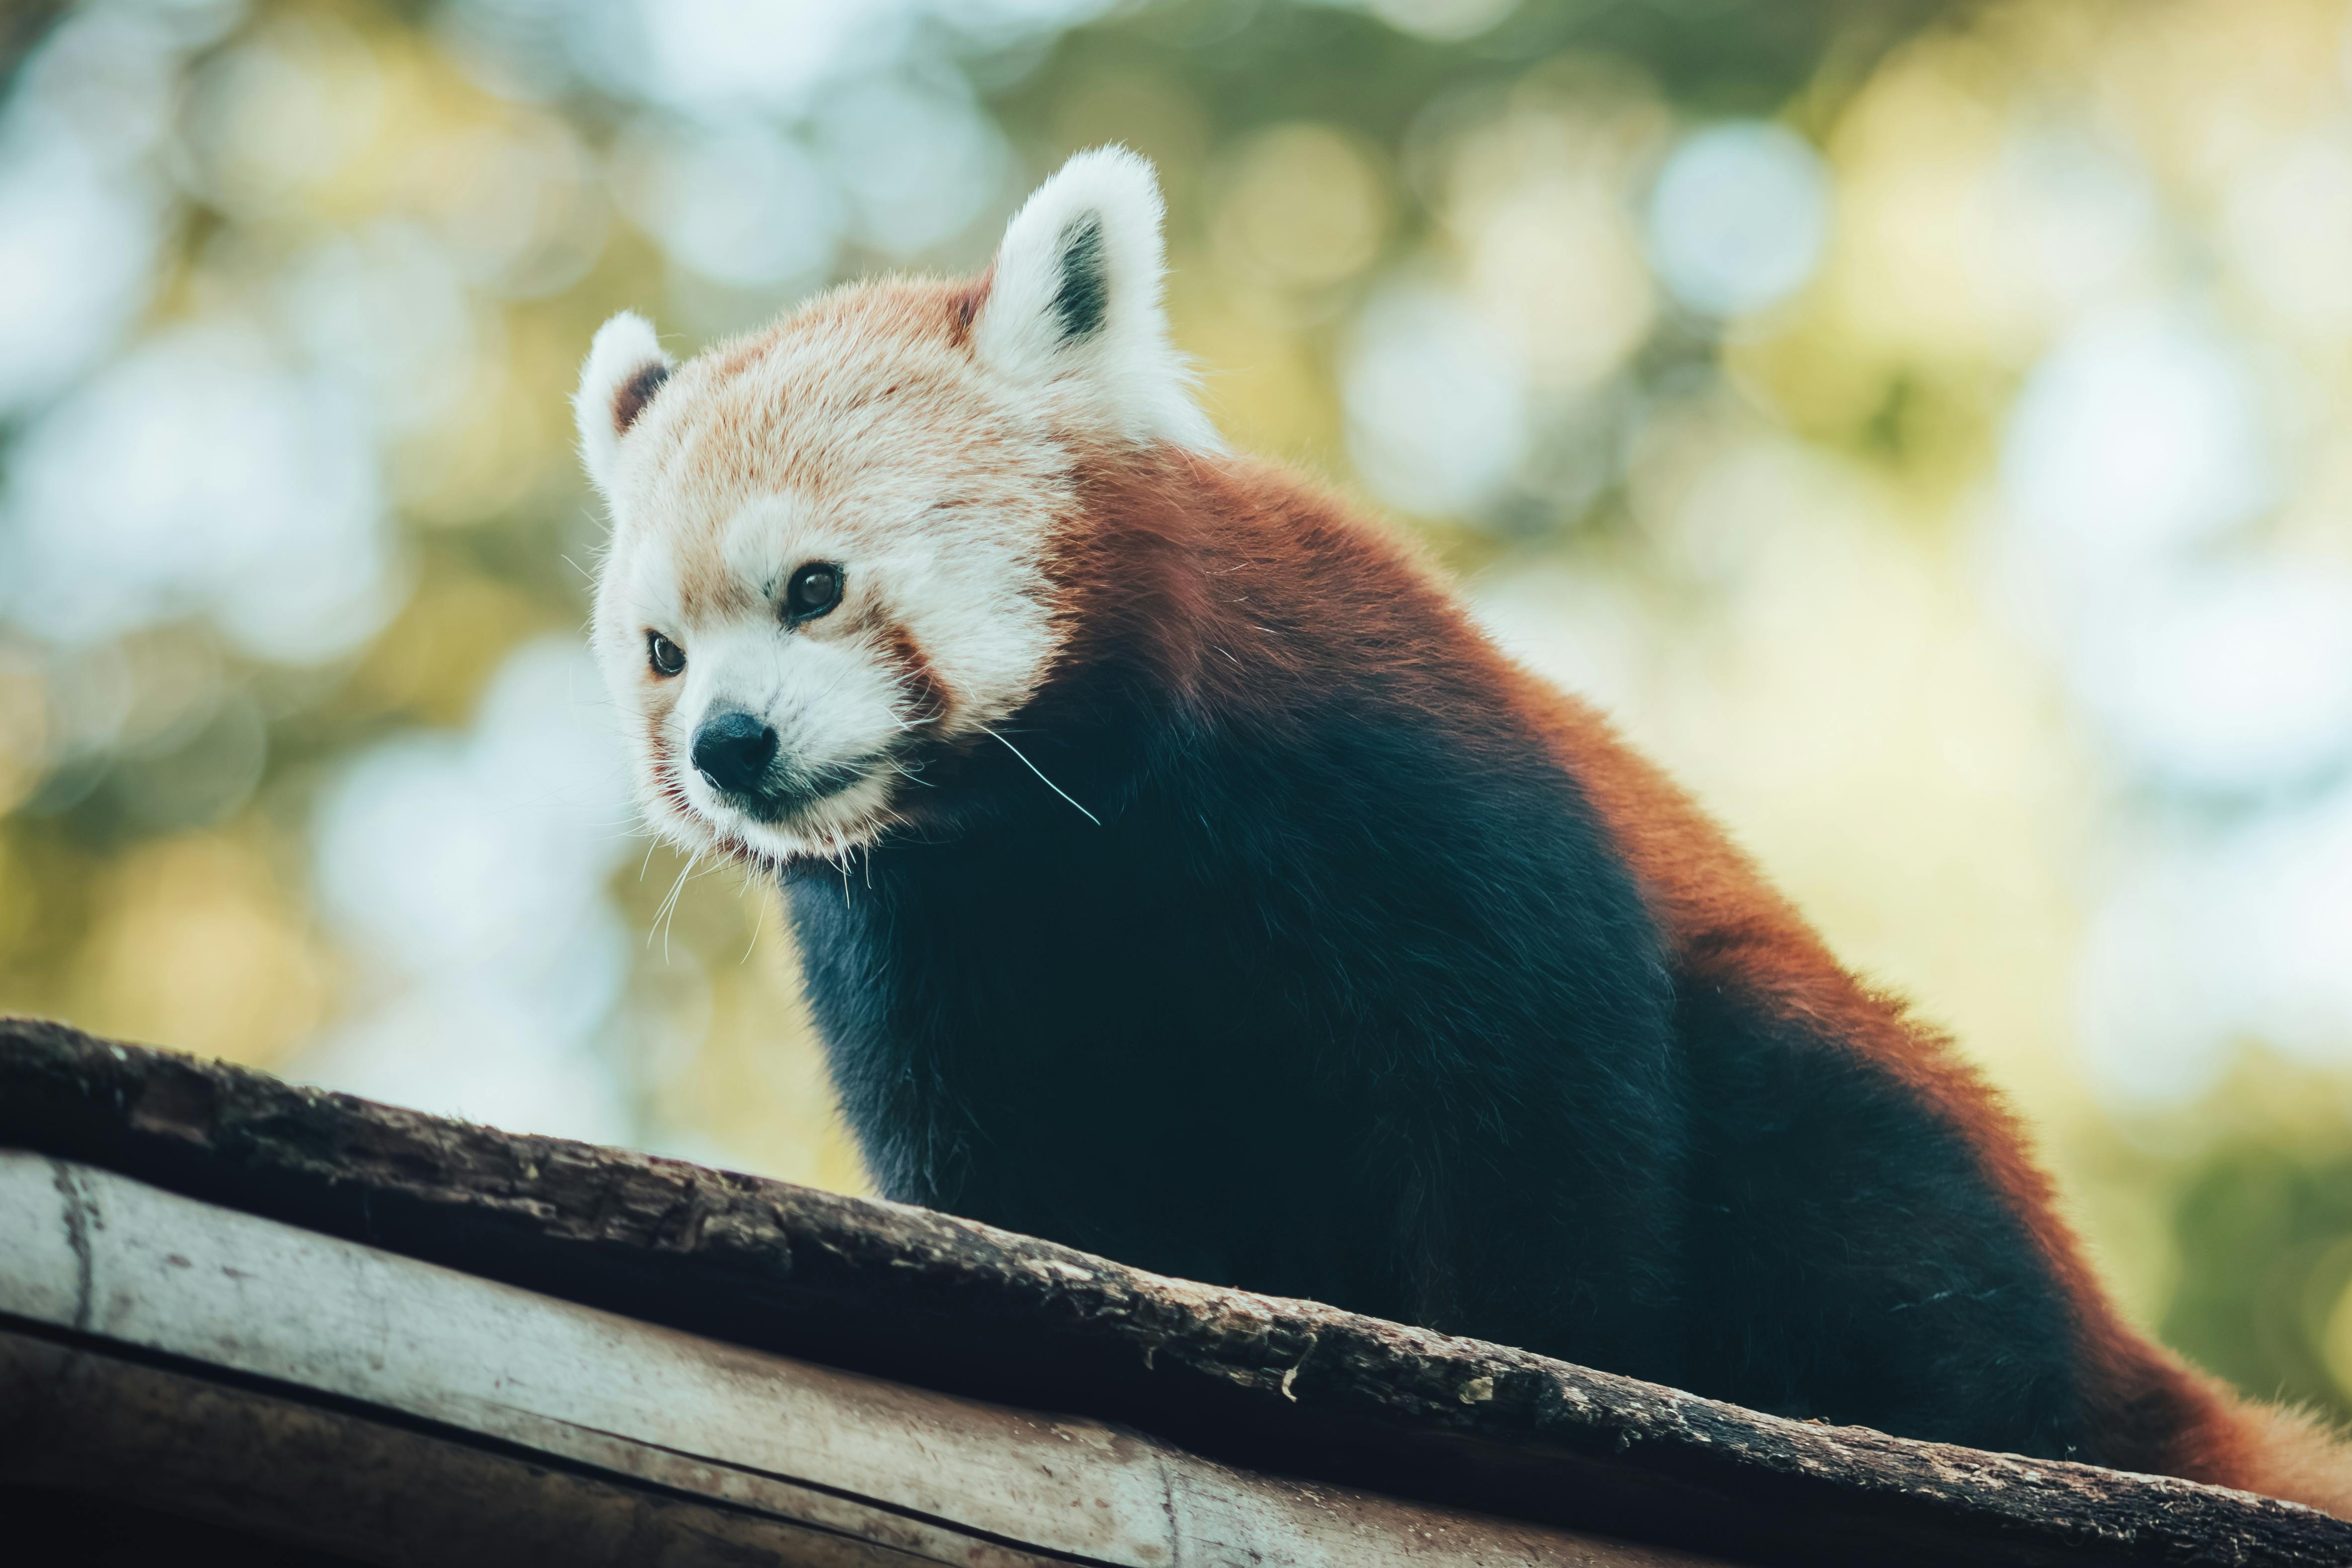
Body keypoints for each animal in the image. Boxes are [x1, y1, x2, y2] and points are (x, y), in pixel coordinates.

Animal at [574, 146, 2350, 1512]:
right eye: (661, 654)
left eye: (813, 586)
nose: (731, 747)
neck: (1055, 834)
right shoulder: (926, 938)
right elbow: (1000, 1172)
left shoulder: (1387, 781)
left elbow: (1534, 1109)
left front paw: (1536, 1352)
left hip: (1860, 1111)